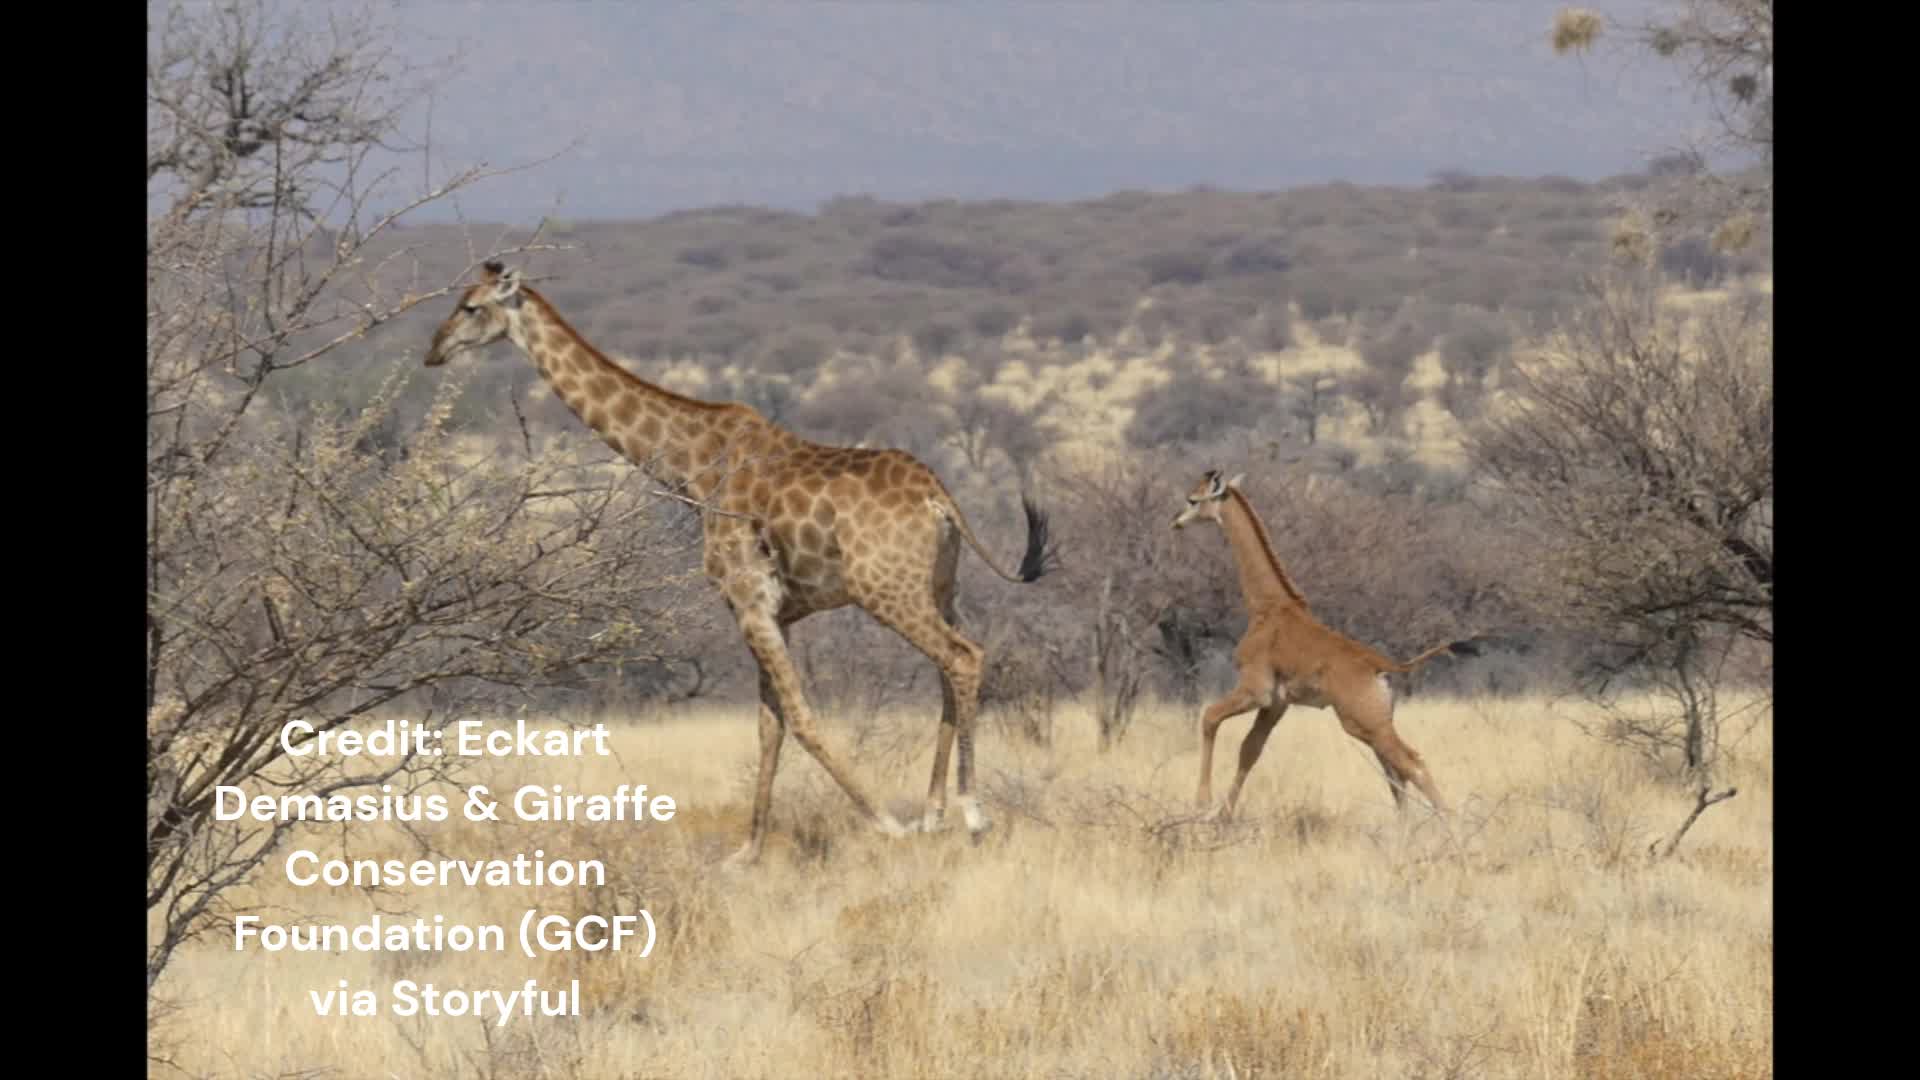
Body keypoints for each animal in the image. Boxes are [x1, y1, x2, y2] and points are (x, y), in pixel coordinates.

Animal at [424, 261, 1057, 865]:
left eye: (470, 307)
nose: (434, 351)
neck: (691, 466)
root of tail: (939, 497)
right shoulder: (775, 612)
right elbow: (768, 724)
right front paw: (748, 852)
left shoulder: (748, 601)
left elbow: (798, 717)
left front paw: (885, 825)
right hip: (939, 586)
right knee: (947, 668)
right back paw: (934, 812)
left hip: (887, 589)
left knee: (963, 657)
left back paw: (970, 813)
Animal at [1170, 469, 1479, 820]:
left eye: (1193, 499)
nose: (1176, 521)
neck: (1267, 607)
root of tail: (1384, 666)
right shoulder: (1277, 703)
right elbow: (1250, 750)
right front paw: (1223, 815)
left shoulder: (1256, 689)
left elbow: (1209, 717)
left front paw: (1203, 804)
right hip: (1375, 722)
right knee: (1396, 773)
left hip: (1363, 722)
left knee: (1413, 764)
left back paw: (1450, 824)